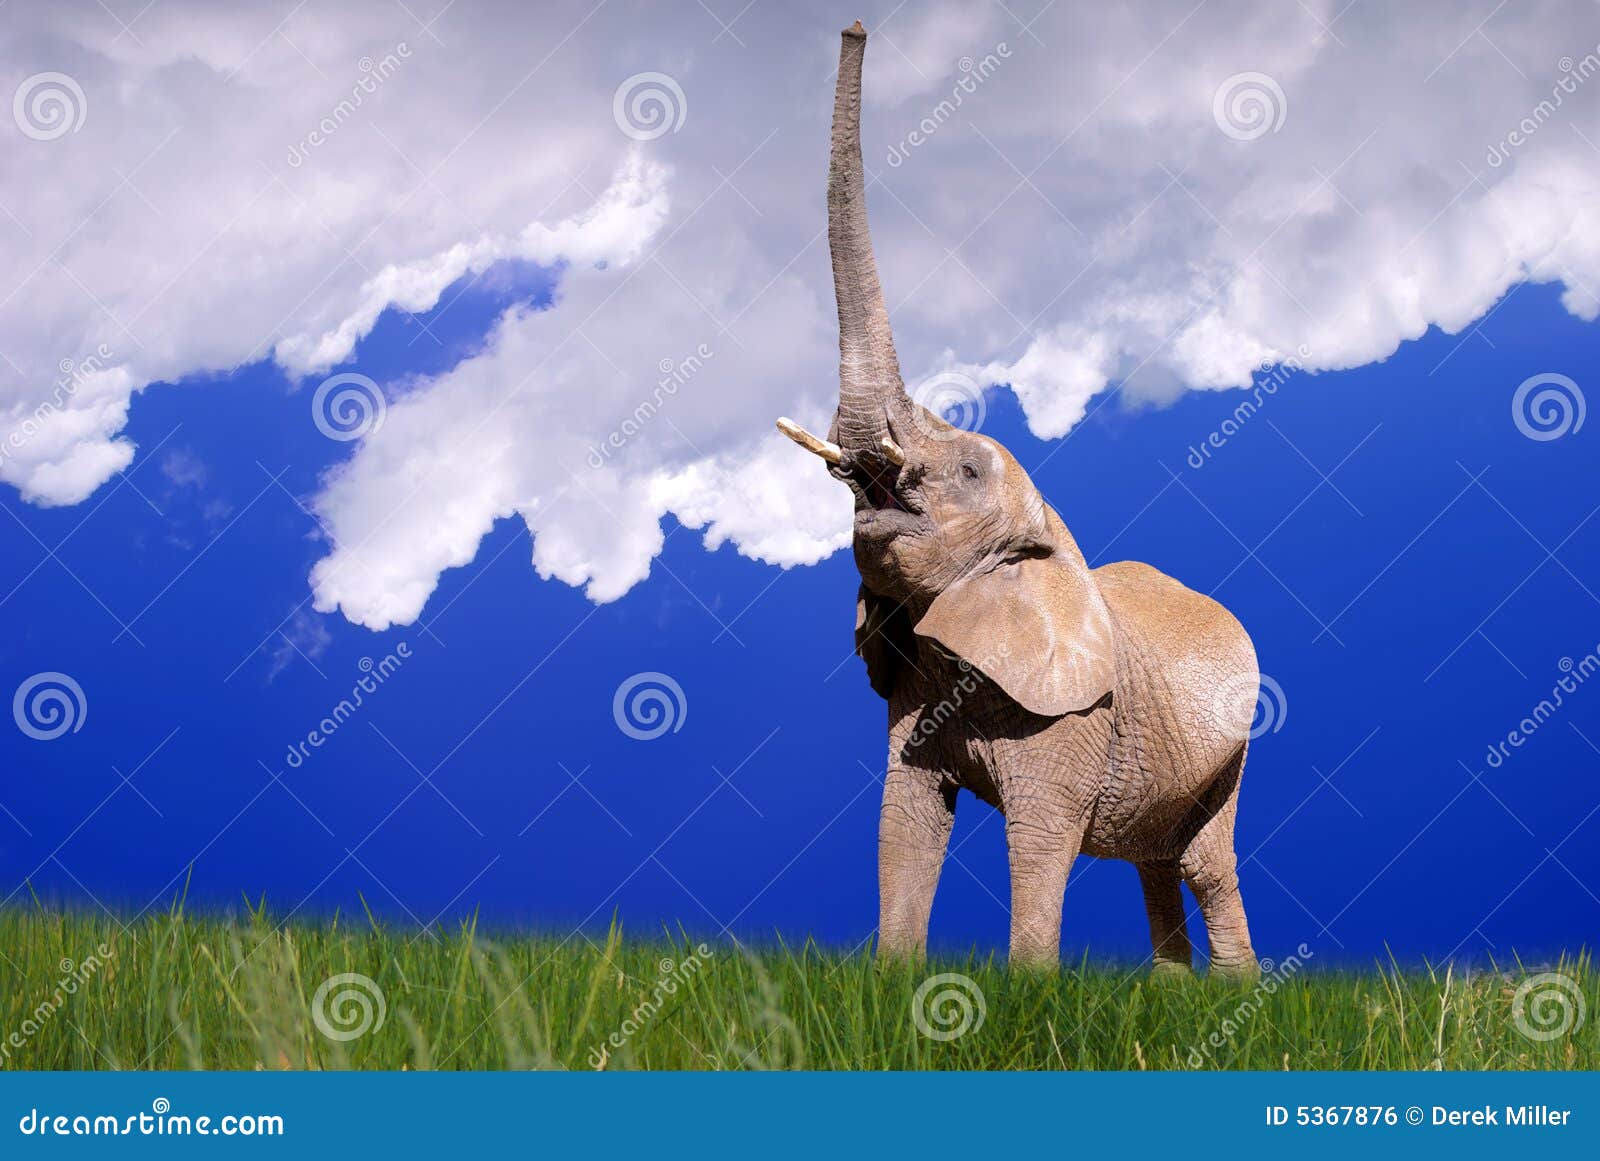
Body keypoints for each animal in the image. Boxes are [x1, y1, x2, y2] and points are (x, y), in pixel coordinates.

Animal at [775, 24, 1261, 975]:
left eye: (967, 472)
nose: (856, 28)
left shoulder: (1075, 714)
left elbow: (1039, 840)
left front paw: (1027, 986)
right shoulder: (917, 684)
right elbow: (904, 822)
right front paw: (893, 982)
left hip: (1228, 756)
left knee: (1206, 863)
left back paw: (1238, 992)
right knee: (1155, 859)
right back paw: (1175, 991)